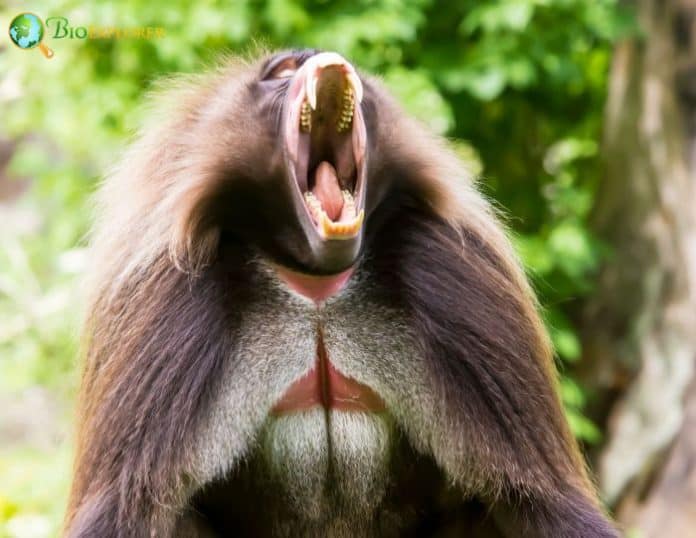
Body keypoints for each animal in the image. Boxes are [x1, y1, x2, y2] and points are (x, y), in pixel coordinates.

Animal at [64, 49, 619, 537]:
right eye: (281, 70)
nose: (317, 55)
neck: (314, 282)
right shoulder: (172, 304)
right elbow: (130, 507)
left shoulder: (452, 278)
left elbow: (536, 500)